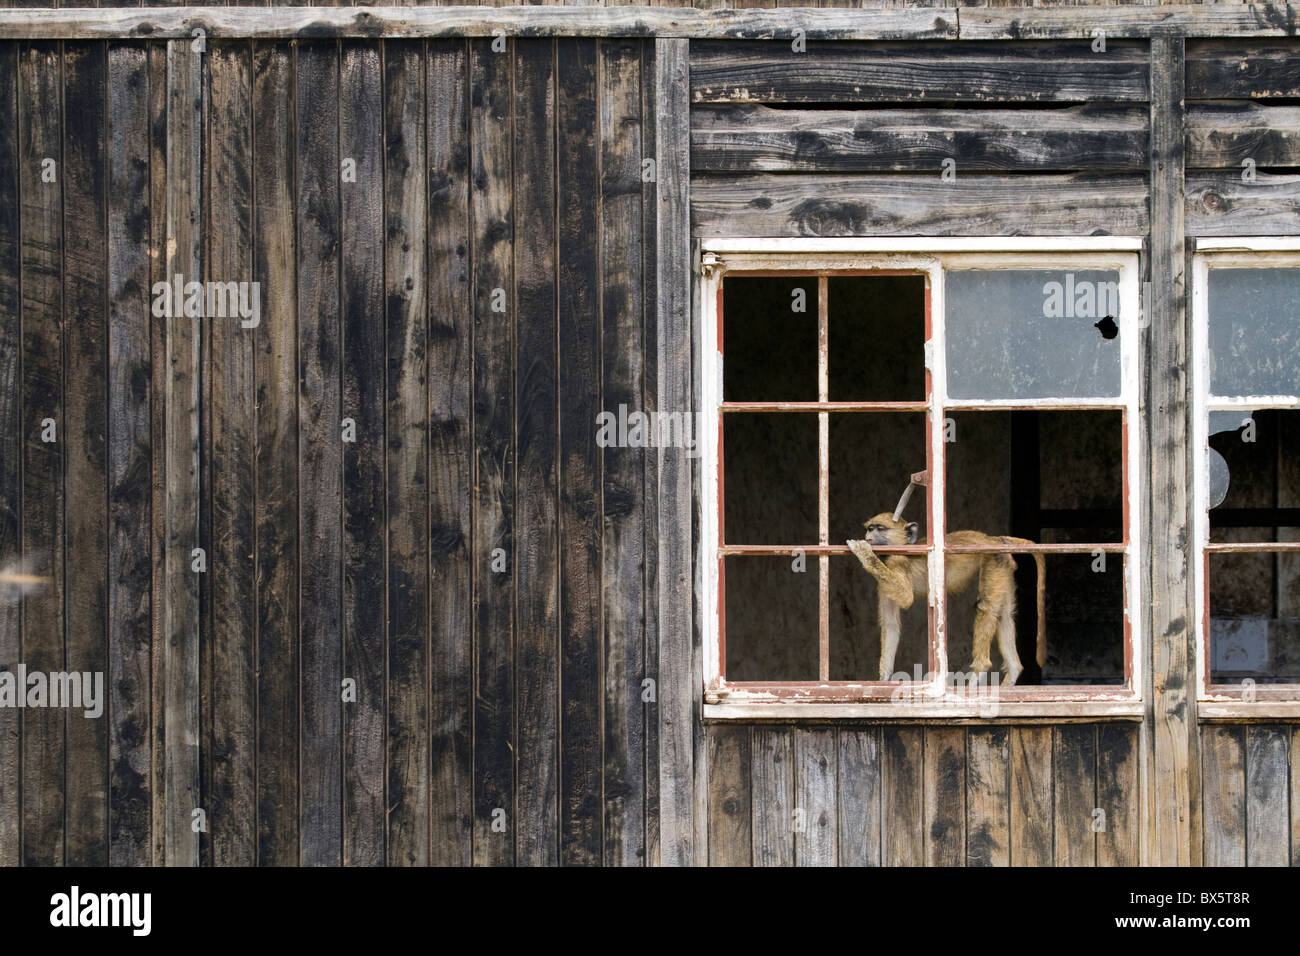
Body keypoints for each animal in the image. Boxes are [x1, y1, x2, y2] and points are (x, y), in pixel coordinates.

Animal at [847, 513, 1045, 686]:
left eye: (879, 529)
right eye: (870, 528)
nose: (868, 537)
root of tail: (993, 540)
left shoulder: (897, 561)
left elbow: (905, 596)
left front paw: (864, 552)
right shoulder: (882, 584)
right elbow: (890, 625)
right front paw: (884, 680)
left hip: (992, 560)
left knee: (986, 607)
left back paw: (979, 672)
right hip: (1003, 564)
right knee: (1004, 614)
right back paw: (1013, 672)